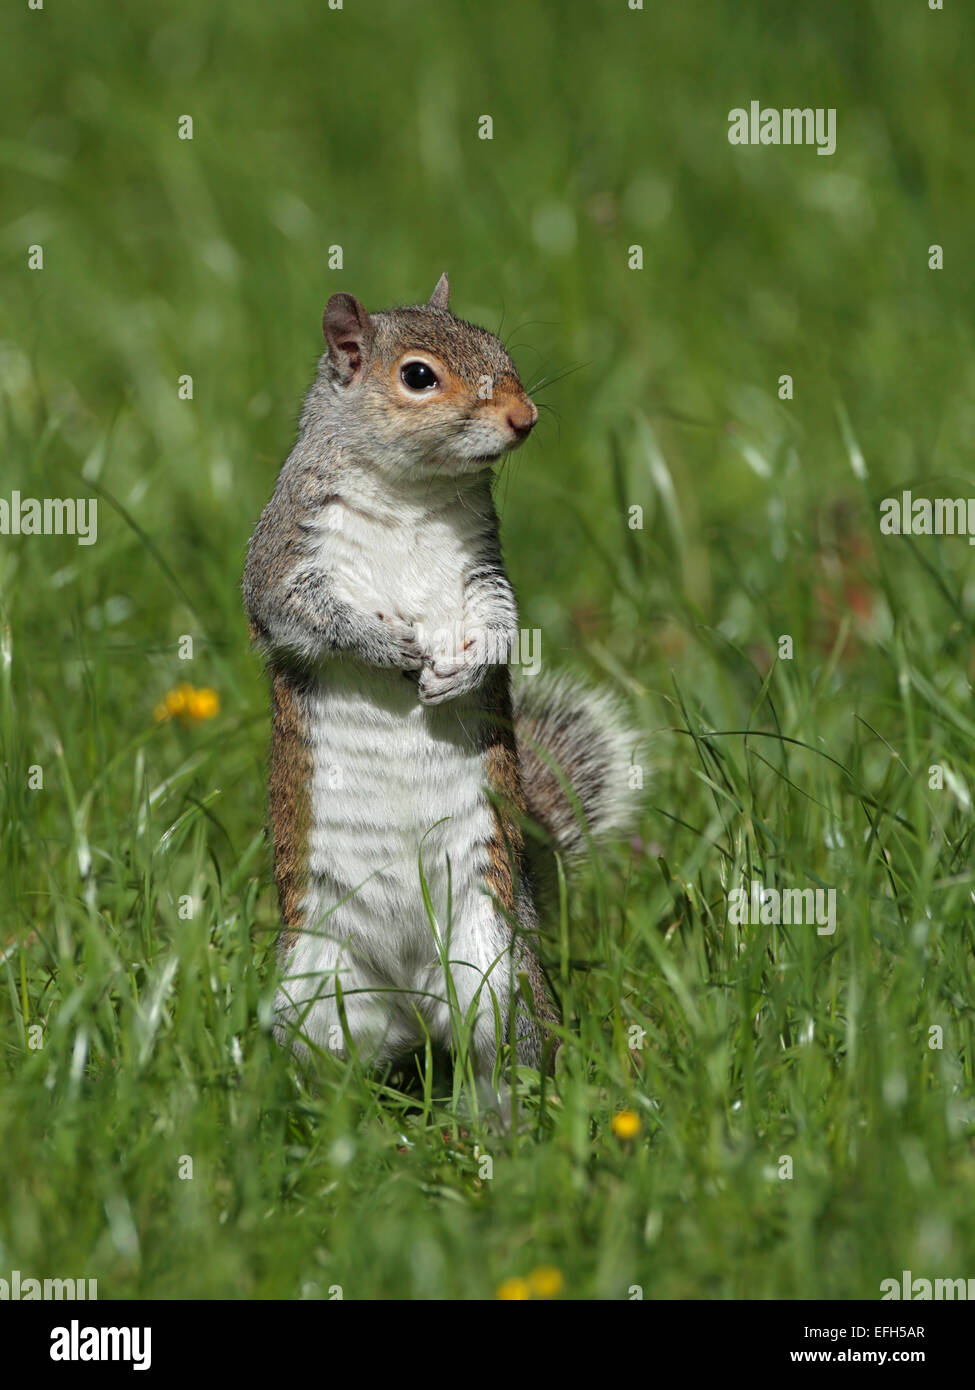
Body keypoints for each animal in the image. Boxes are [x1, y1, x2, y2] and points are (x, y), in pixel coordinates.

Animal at [243, 274, 641, 1096]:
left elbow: (501, 623)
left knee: (499, 1059)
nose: (524, 417)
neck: (410, 494)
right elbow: (297, 612)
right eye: (418, 376)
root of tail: (409, 997)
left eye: (500, 348)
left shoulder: (484, 569)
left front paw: (464, 668)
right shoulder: (283, 556)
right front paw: (382, 641)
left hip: (498, 968)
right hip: (313, 987)